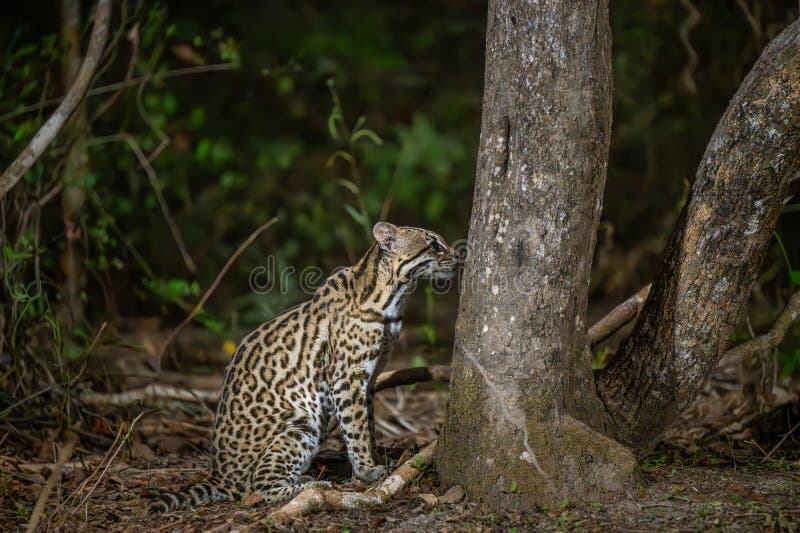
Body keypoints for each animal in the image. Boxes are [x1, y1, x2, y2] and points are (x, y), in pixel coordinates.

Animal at [148, 222, 458, 512]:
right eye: (434, 245)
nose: (457, 257)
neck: (391, 298)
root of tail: (217, 474)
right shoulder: (346, 378)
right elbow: (356, 427)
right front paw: (367, 470)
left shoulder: (369, 377)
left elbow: (367, 422)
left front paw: (372, 458)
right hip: (300, 425)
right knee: (258, 487)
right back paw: (311, 485)